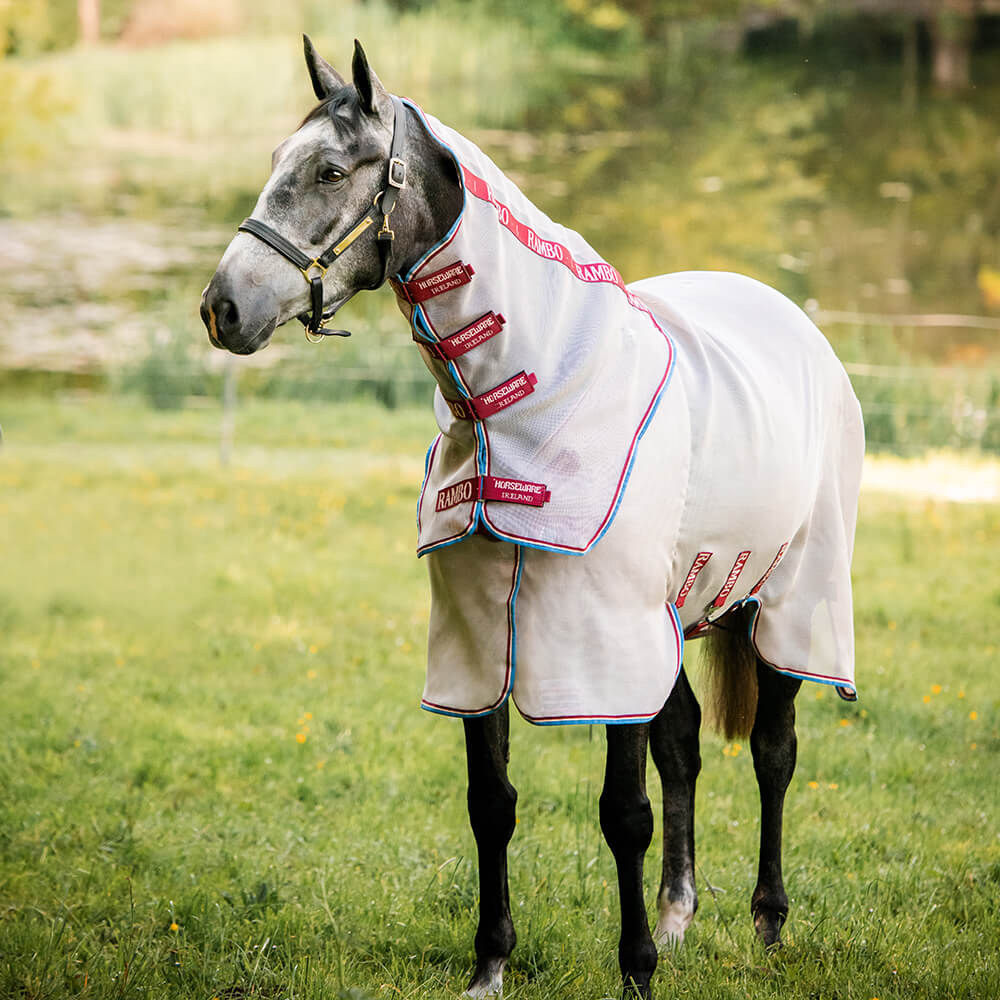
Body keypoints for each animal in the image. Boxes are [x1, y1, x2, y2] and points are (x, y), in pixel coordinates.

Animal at [200, 38, 864, 1000]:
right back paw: (678, 916)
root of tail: (792, 318)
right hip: (671, 614)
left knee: (776, 750)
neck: (528, 400)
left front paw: (634, 974)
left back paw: (767, 924)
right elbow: (493, 804)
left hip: (789, 598)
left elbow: (623, 812)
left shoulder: (601, 631)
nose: (223, 307)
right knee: (684, 744)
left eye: (328, 170)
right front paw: (491, 965)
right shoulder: (480, 635)